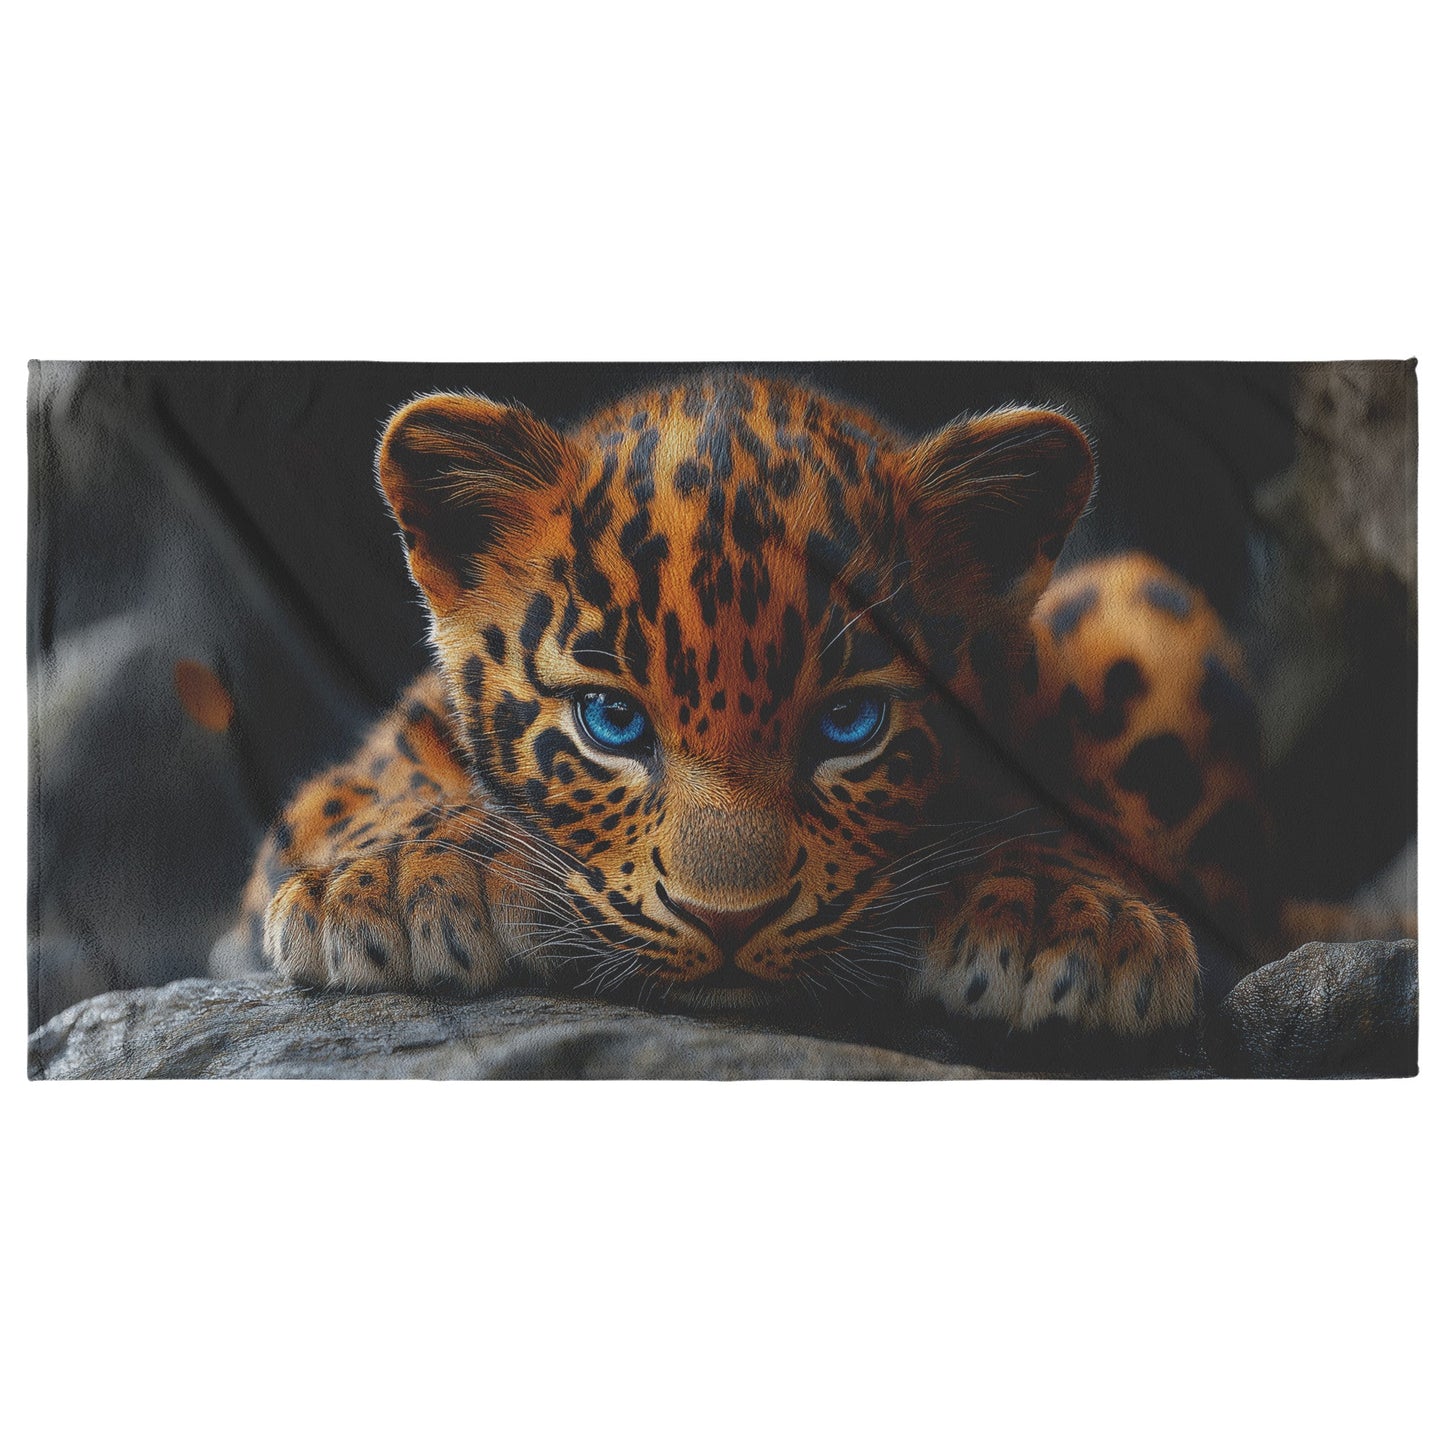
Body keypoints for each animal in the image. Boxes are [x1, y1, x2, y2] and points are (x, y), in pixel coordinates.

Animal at [217, 371, 1283, 1048]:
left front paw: (1058, 915)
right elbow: (390, 788)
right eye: (610, 722)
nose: (724, 921)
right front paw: (404, 878)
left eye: (850, 728)